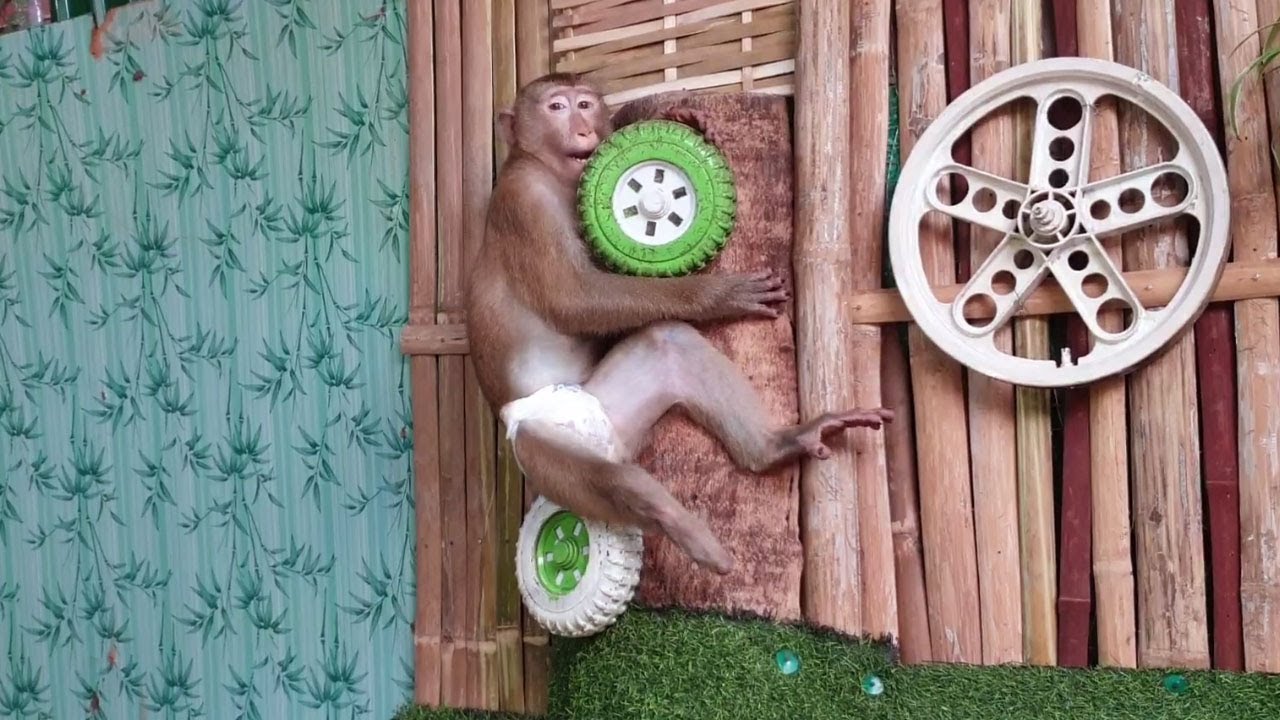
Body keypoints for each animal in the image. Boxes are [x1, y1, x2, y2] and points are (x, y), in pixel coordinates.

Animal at [465, 73, 893, 575]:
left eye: (584, 104)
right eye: (556, 107)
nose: (584, 129)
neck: (544, 169)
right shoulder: (524, 200)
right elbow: (574, 299)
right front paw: (716, 297)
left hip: (613, 417)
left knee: (669, 342)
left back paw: (777, 446)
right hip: (539, 452)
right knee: (610, 480)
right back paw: (681, 525)